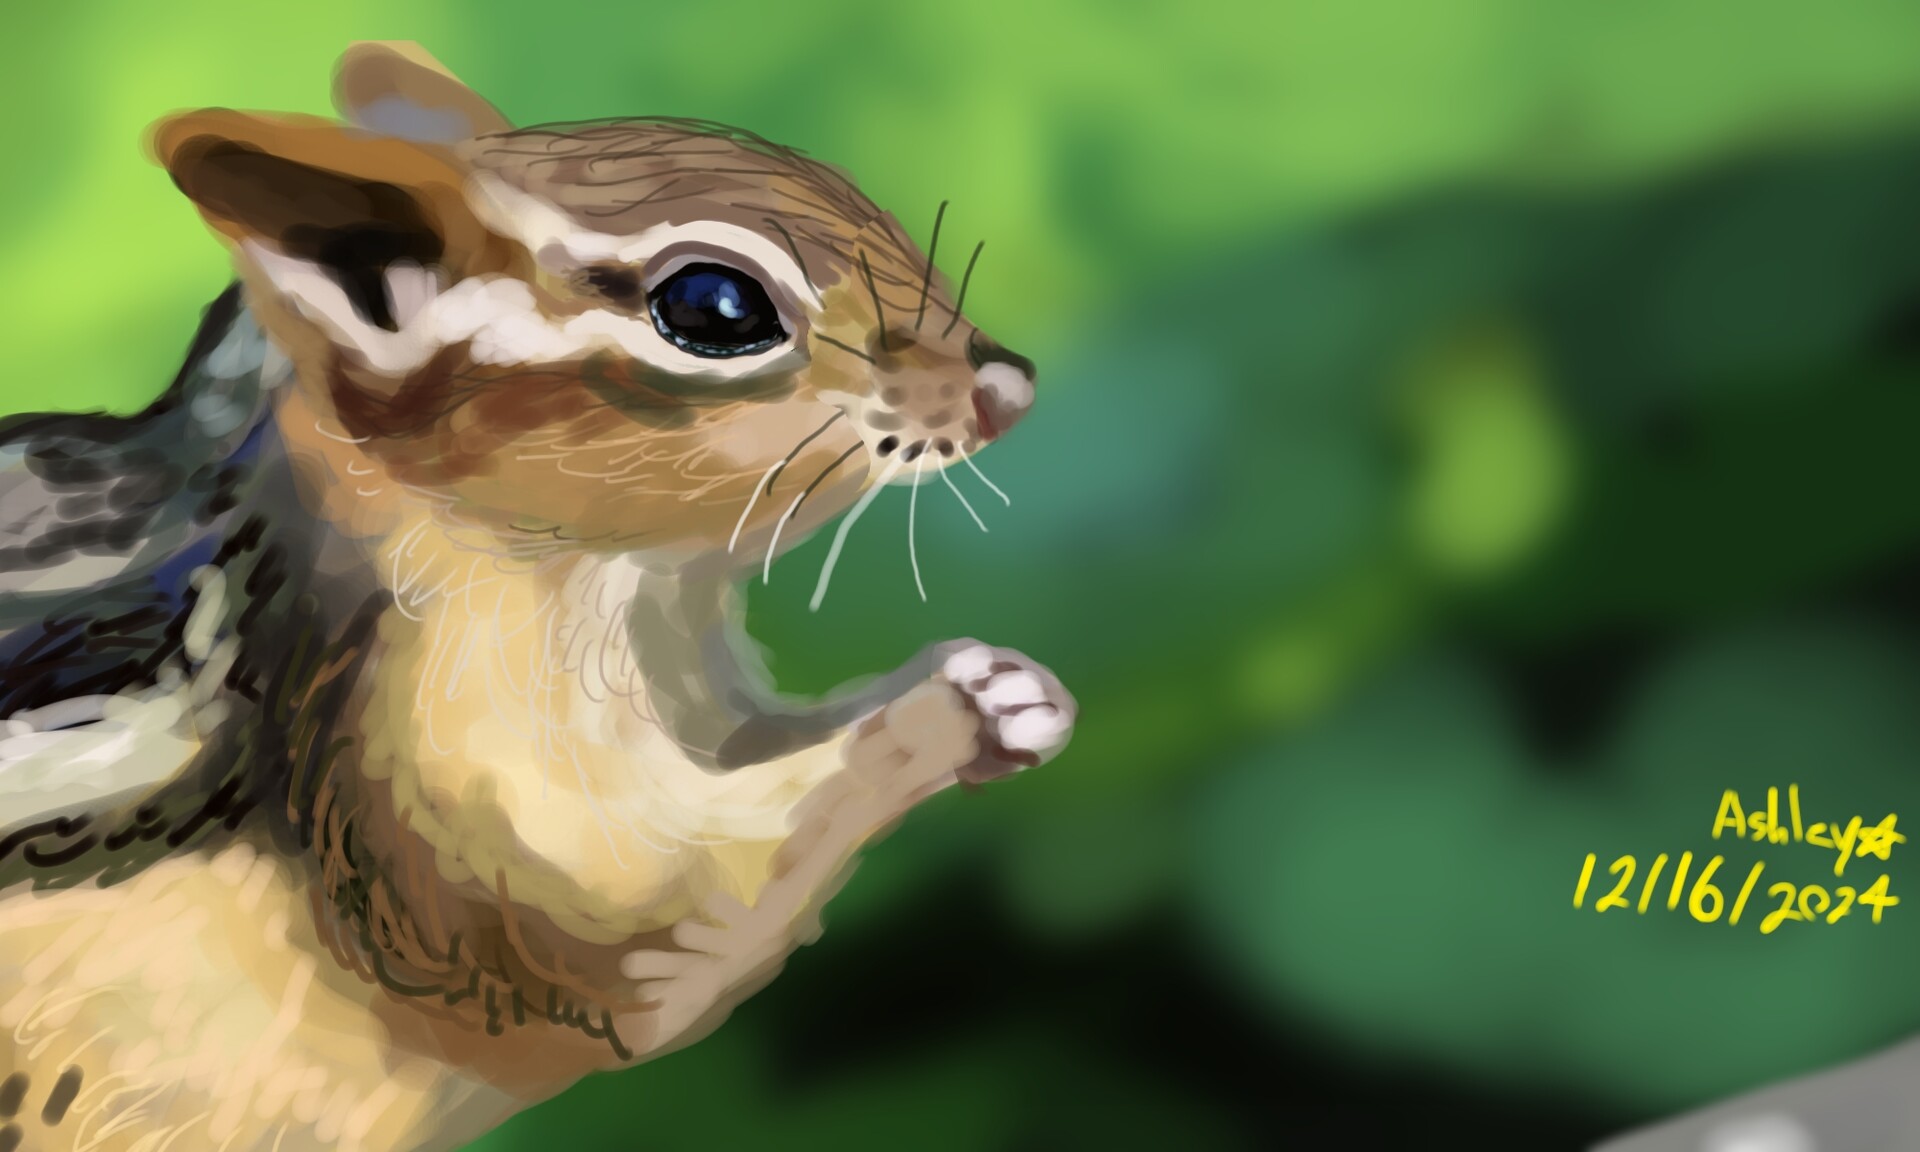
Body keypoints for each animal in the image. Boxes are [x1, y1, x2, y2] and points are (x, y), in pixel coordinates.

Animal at [0, 42, 1074, 1152]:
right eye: (715, 307)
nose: (1010, 385)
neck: (648, 604)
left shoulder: (713, 710)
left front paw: (1011, 693)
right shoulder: (468, 808)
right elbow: (664, 917)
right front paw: (958, 706)